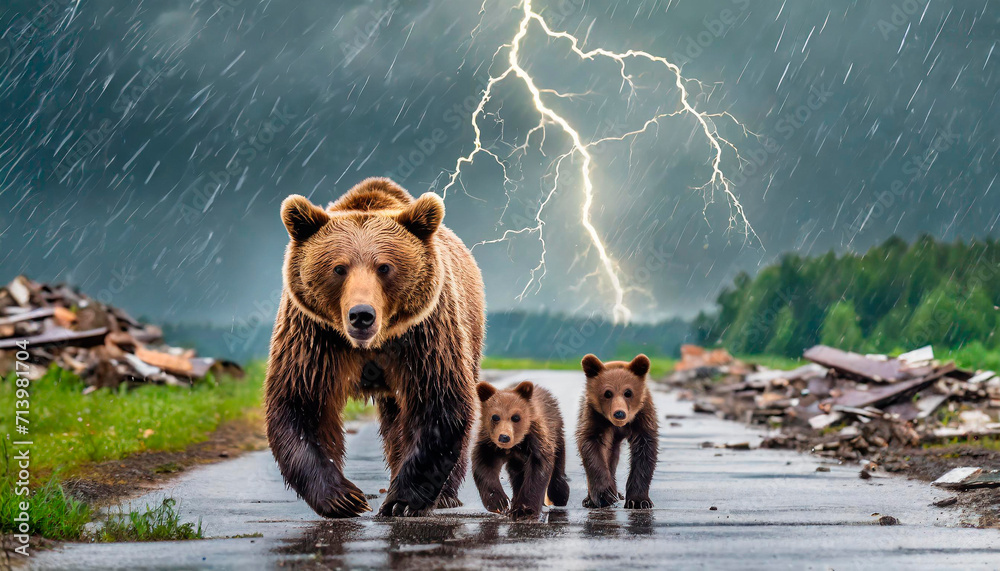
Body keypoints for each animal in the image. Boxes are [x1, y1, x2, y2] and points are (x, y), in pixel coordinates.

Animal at [265, 177, 485, 518]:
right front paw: (344, 498)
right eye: (338, 268)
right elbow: (302, 403)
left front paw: (400, 501)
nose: (361, 315)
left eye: (384, 267)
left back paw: (446, 495)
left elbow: (438, 402)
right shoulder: (314, 335)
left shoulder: (423, 334)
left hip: (468, 333)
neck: (371, 345)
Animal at [472, 380, 570, 521]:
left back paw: (560, 495)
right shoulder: (489, 444)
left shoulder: (536, 441)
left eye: (516, 417)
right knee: (516, 473)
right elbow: (484, 466)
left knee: (558, 464)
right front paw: (499, 502)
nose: (504, 437)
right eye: (495, 417)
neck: (516, 446)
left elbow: (538, 470)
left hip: (556, 431)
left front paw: (524, 510)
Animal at [577, 354, 658, 509]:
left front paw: (638, 501)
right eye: (607, 393)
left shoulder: (642, 417)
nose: (619, 413)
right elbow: (591, 447)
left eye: (628, 392)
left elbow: (645, 451)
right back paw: (592, 498)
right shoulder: (595, 417)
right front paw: (604, 495)